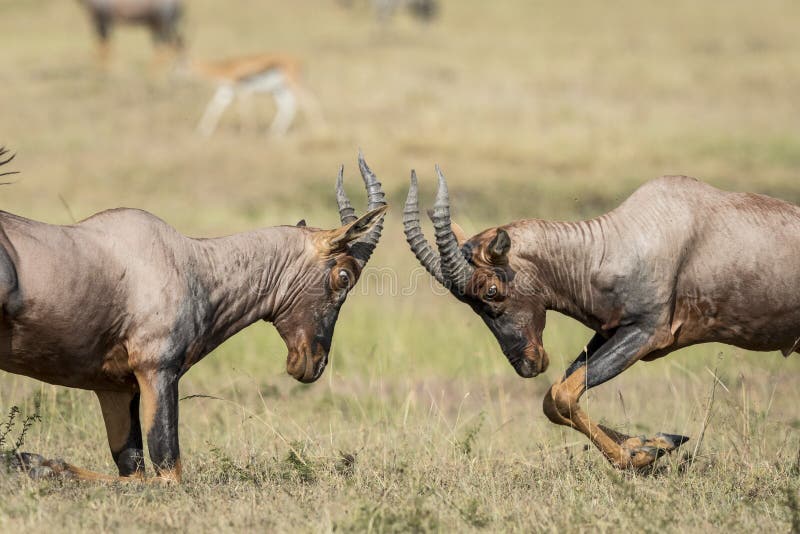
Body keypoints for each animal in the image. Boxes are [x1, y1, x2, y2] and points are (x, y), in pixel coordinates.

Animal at [0, 151, 387, 483]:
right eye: (344, 276)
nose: (313, 363)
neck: (191, 260)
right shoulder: (157, 370)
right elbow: (167, 473)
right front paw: (33, 464)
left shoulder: (114, 388)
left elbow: (132, 470)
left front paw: (33, 463)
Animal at [189, 54, 323, 138]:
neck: (226, 68)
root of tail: (299, 61)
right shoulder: (227, 91)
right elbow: (214, 106)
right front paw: (203, 131)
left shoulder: (243, 90)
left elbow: (245, 111)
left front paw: (247, 134)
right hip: (280, 89)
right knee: (288, 105)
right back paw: (275, 133)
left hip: (292, 84)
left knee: (308, 100)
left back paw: (320, 128)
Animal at [405, 167, 800, 469]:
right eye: (465, 300)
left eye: (490, 290)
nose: (527, 363)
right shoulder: (608, 333)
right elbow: (555, 396)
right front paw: (654, 444)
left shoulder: (647, 334)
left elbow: (563, 394)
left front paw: (642, 456)